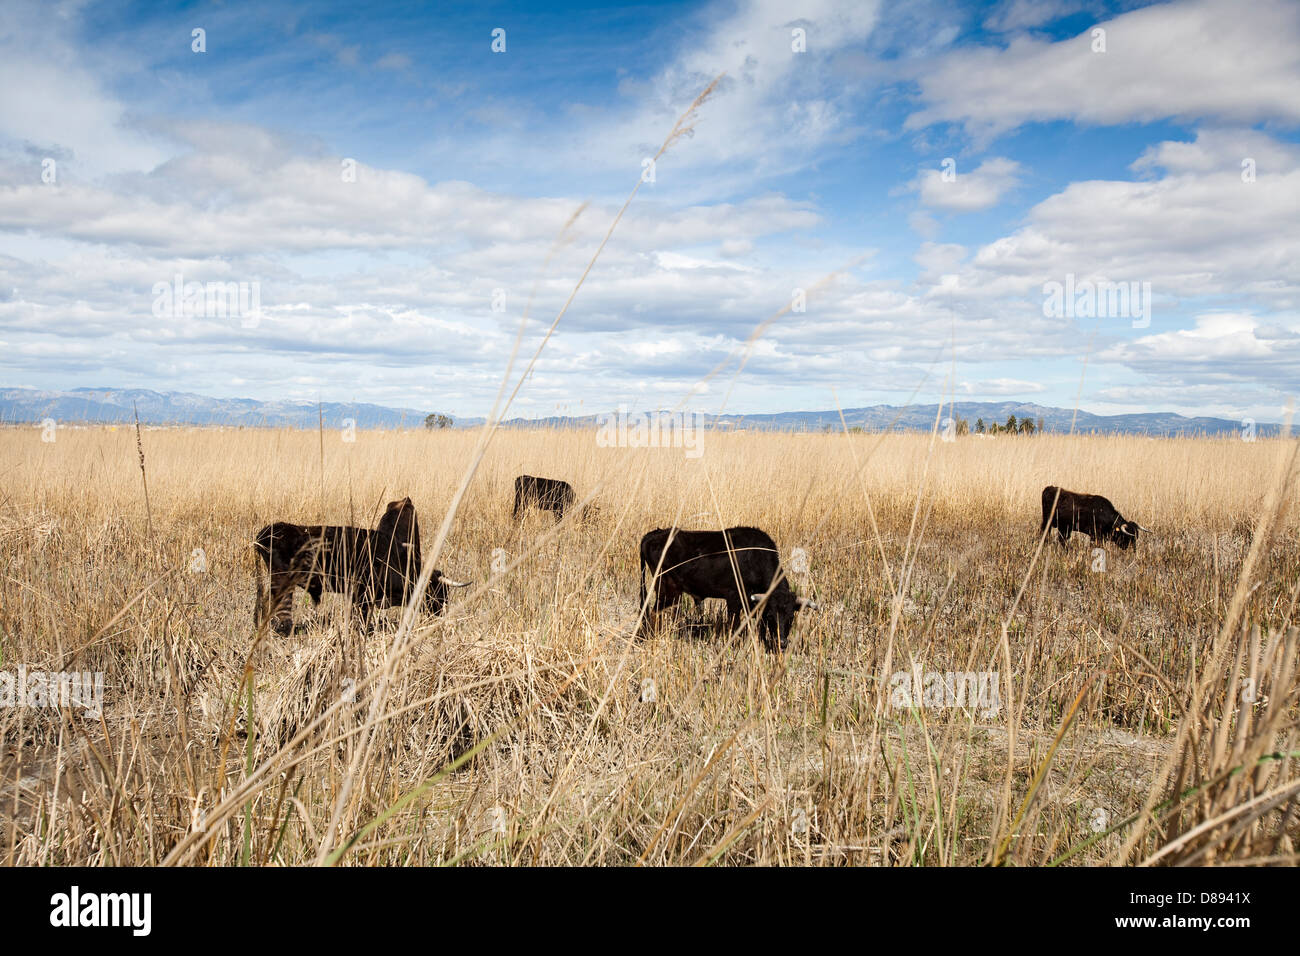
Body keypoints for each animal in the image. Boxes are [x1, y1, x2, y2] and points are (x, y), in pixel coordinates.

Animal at [253, 497, 470, 634]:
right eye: (439, 592)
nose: (441, 614)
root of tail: (267, 531)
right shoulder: (362, 595)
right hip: (281, 583)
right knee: (279, 610)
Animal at [638, 526, 817, 651]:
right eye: (771, 616)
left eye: (791, 617)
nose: (782, 643)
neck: (755, 559)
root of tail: (655, 534)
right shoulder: (733, 598)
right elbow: (734, 625)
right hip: (667, 590)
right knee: (654, 614)